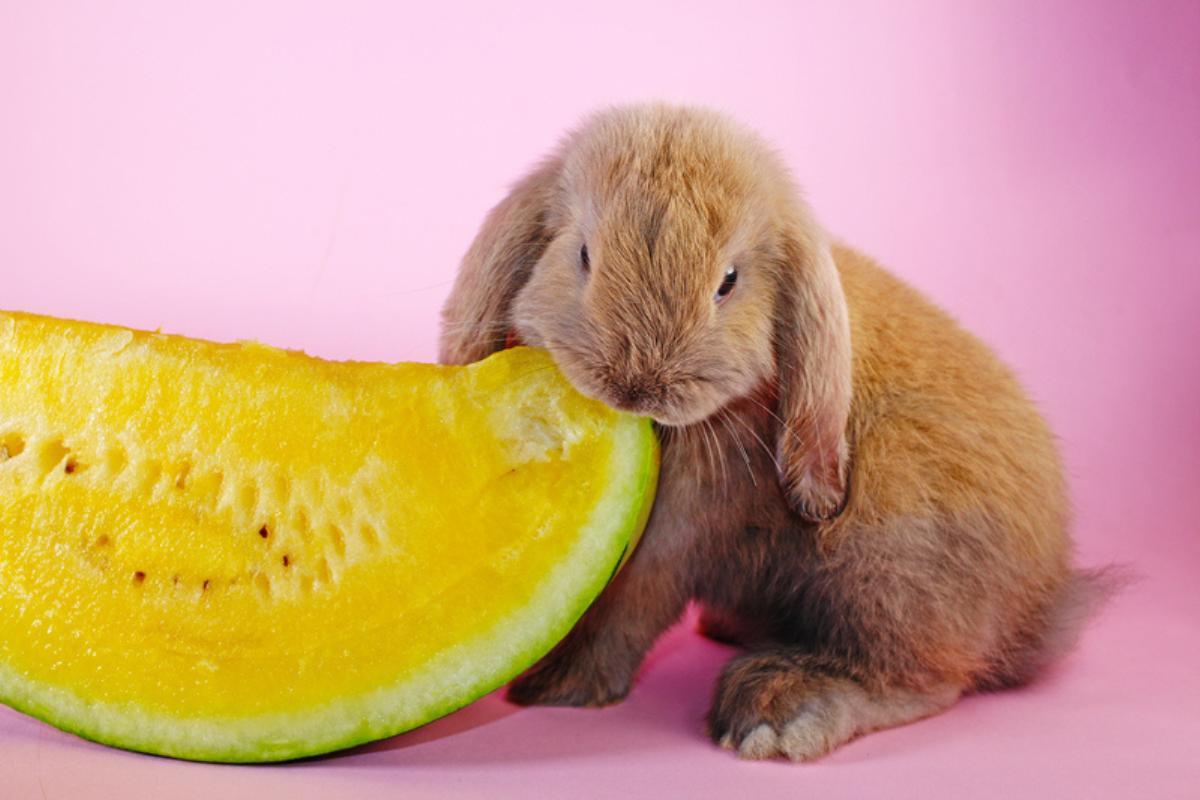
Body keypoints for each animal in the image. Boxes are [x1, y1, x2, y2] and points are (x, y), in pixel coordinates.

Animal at [438, 104, 1113, 761]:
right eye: (583, 254)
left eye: (728, 281)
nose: (637, 385)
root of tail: (1042, 602)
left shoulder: (683, 527)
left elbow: (632, 598)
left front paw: (555, 683)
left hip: (890, 542)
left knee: (924, 676)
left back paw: (778, 709)